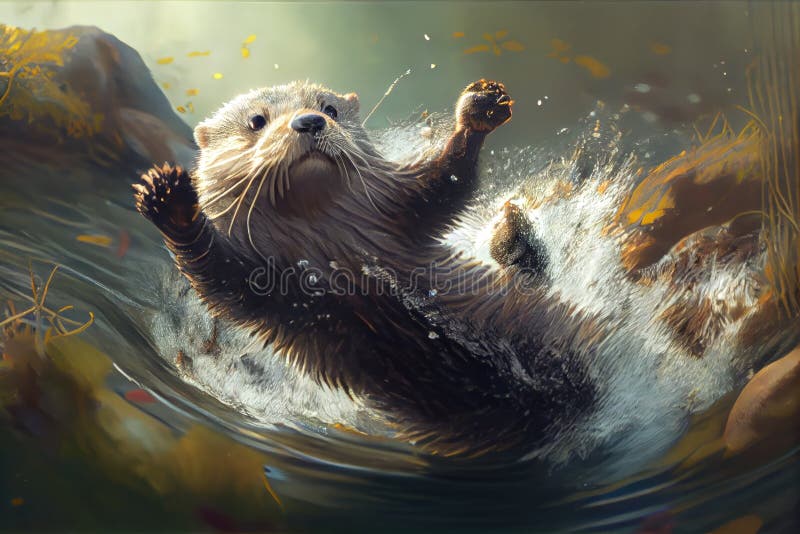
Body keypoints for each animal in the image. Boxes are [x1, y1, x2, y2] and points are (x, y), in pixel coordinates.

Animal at [134, 80, 596, 456]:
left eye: (330, 108)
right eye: (256, 121)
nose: (309, 121)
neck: (332, 249)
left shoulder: (398, 215)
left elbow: (443, 185)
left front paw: (479, 110)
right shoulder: (269, 283)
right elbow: (219, 281)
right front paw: (170, 202)